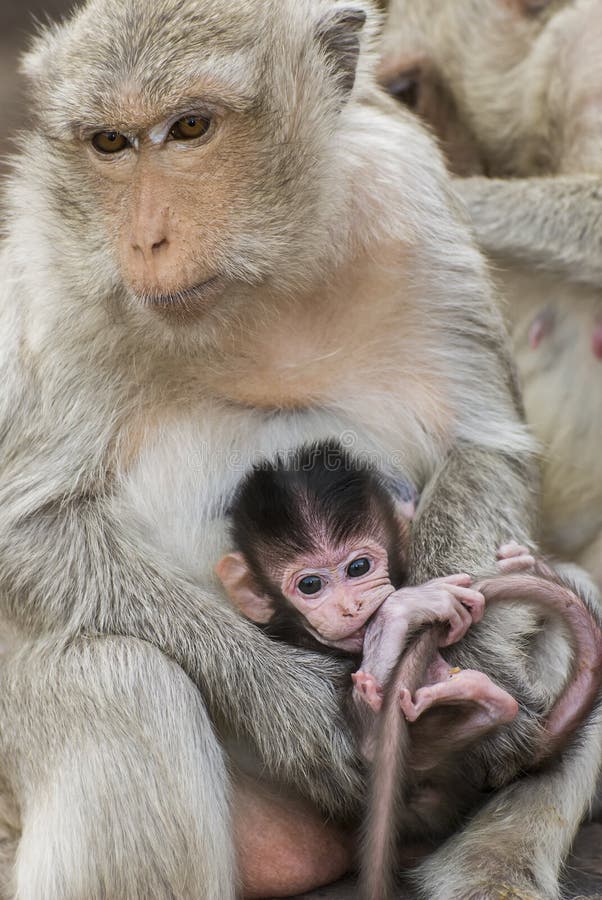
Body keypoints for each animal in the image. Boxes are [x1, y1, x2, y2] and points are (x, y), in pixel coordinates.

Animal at [217, 440, 602, 899]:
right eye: (310, 585)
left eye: (358, 567)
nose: (350, 607)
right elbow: (367, 746)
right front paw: (404, 609)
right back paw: (482, 699)